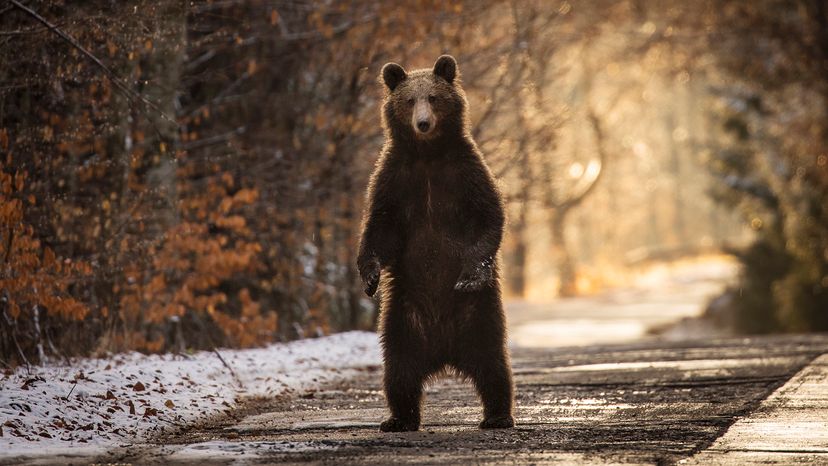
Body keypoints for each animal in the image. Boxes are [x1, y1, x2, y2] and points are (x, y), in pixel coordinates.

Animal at [358, 55, 516, 434]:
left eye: (433, 96)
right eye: (409, 100)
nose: (424, 123)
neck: (427, 154)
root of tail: (444, 353)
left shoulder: (465, 173)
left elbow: (488, 217)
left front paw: (470, 275)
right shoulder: (395, 179)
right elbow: (380, 227)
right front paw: (369, 276)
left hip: (479, 315)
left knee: (493, 364)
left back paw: (497, 415)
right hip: (403, 320)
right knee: (398, 370)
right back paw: (398, 419)